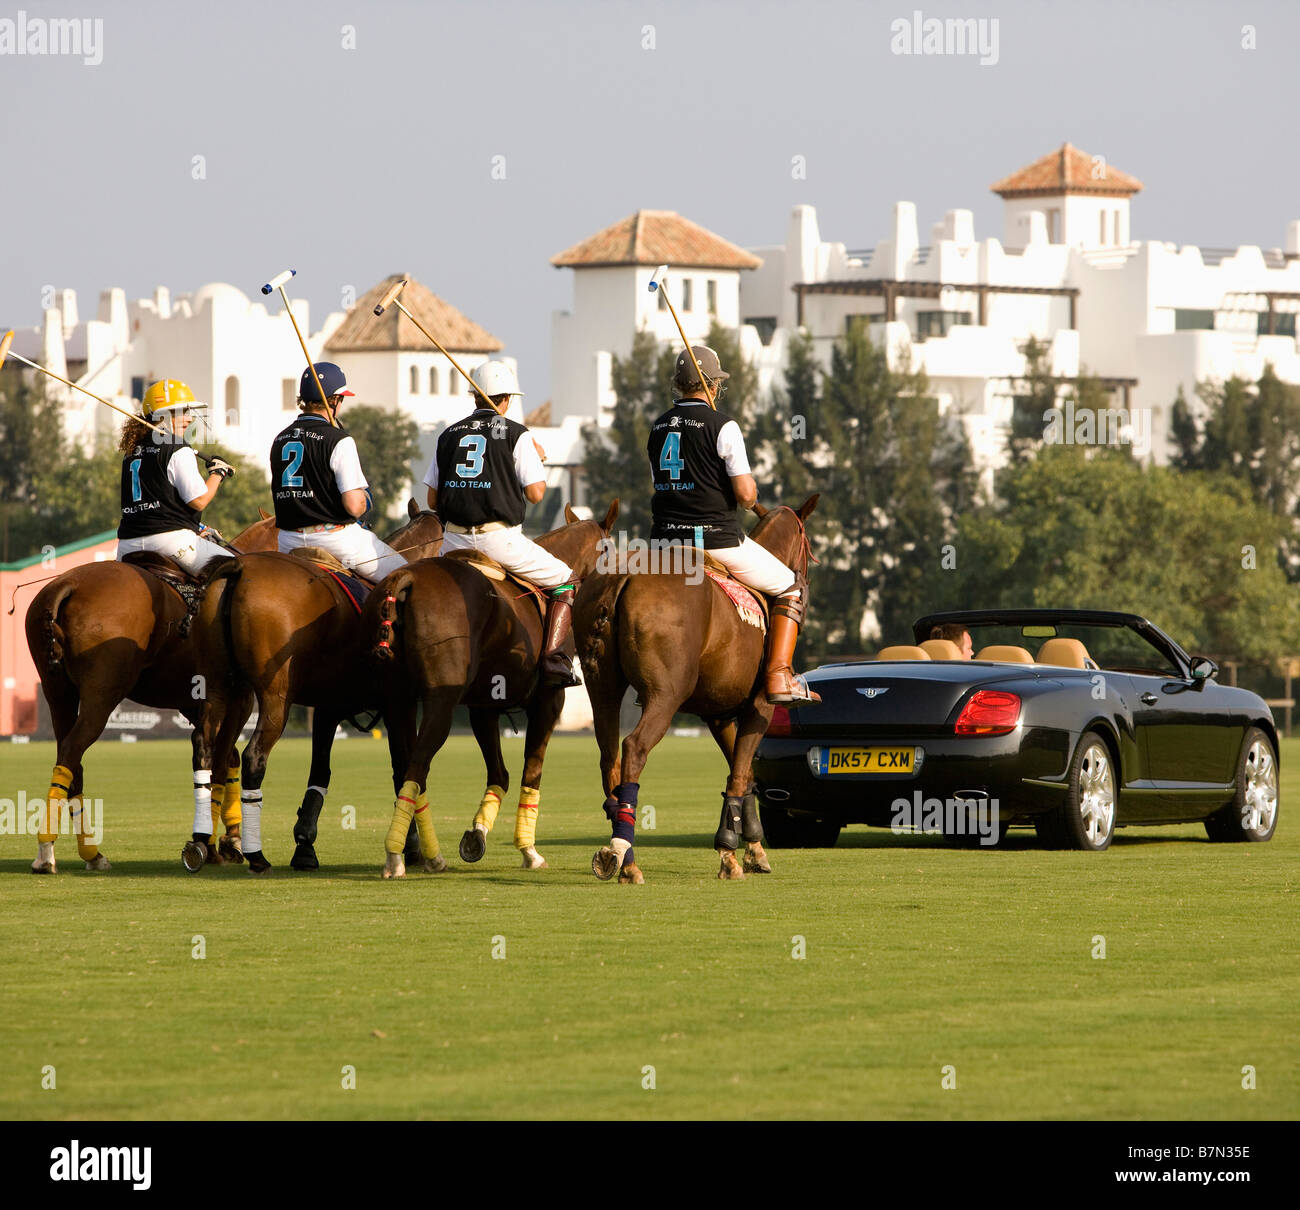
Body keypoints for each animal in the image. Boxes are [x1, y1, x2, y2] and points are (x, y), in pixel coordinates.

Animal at [22, 512, 281, 874]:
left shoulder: (194, 703)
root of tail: (66, 585)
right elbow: (220, 760)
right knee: (73, 749)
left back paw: (90, 853)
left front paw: (222, 841)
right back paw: (47, 851)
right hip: (102, 694)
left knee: (69, 758)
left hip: (57, 692)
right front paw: (218, 843)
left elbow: (222, 757)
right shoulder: (237, 697)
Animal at [187, 502, 446, 874]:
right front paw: (410, 848)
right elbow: (405, 768)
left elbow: (320, 771)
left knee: (206, 748)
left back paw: (199, 843)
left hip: (218, 686)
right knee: (253, 756)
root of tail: (238, 568)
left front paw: (305, 845)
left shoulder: (329, 706)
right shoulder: (399, 702)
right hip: (273, 697)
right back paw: (255, 854)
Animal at [370, 500, 619, 879]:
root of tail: (406, 577)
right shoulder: (550, 700)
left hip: (398, 700)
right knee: (417, 766)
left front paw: (476, 835)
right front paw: (529, 851)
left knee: (409, 771)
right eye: (614, 553)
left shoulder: (484, 706)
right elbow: (532, 772)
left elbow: (499, 773)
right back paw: (397, 858)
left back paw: (428, 856)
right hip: (440, 702)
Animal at [577, 496, 819, 882]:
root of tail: (622, 575)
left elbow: (743, 773)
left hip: (601, 688)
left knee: (608, 756)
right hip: (666, 694)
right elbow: (741, 772)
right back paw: (621, 853)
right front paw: (730, 854)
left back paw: (626, 857)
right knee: (635, 747)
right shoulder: (761, 706)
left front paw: (751, 849)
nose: (805, 583)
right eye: (808, 549)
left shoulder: (718, 714)